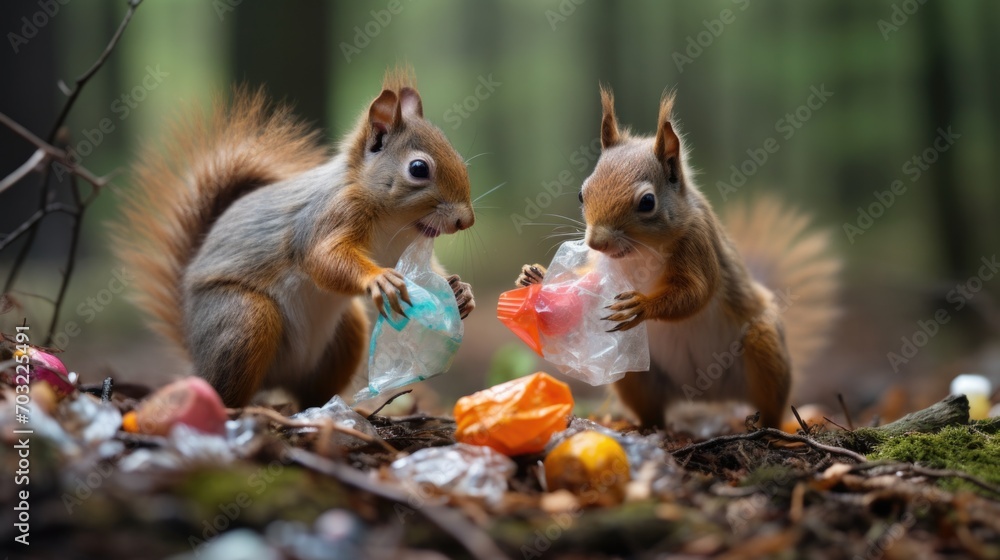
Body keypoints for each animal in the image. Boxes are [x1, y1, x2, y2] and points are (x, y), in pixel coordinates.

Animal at [113, 69, 476, 408]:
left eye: (460, 159)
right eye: (418, 169)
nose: (466, 220)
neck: (395, 224)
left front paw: (460, 291)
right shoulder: (327, 218)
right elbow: (323, 258)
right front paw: (378, 279)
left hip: (345, 333)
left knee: (310, 392)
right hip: (242, 318)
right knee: (224, 384)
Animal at [517, 85, 838, 429]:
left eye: (647, 202)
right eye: (582, 193)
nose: (596, 242)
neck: (639, 253)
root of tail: (703, 396)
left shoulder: (698, 244)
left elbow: (695, 293)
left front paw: (642, 305)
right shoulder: (603, 269)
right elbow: (582, 290)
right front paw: (535, 276)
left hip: (764, 347)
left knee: (772, 407)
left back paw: (773, 428)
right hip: (635, 373)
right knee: (653, 411)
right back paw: (639, 426)